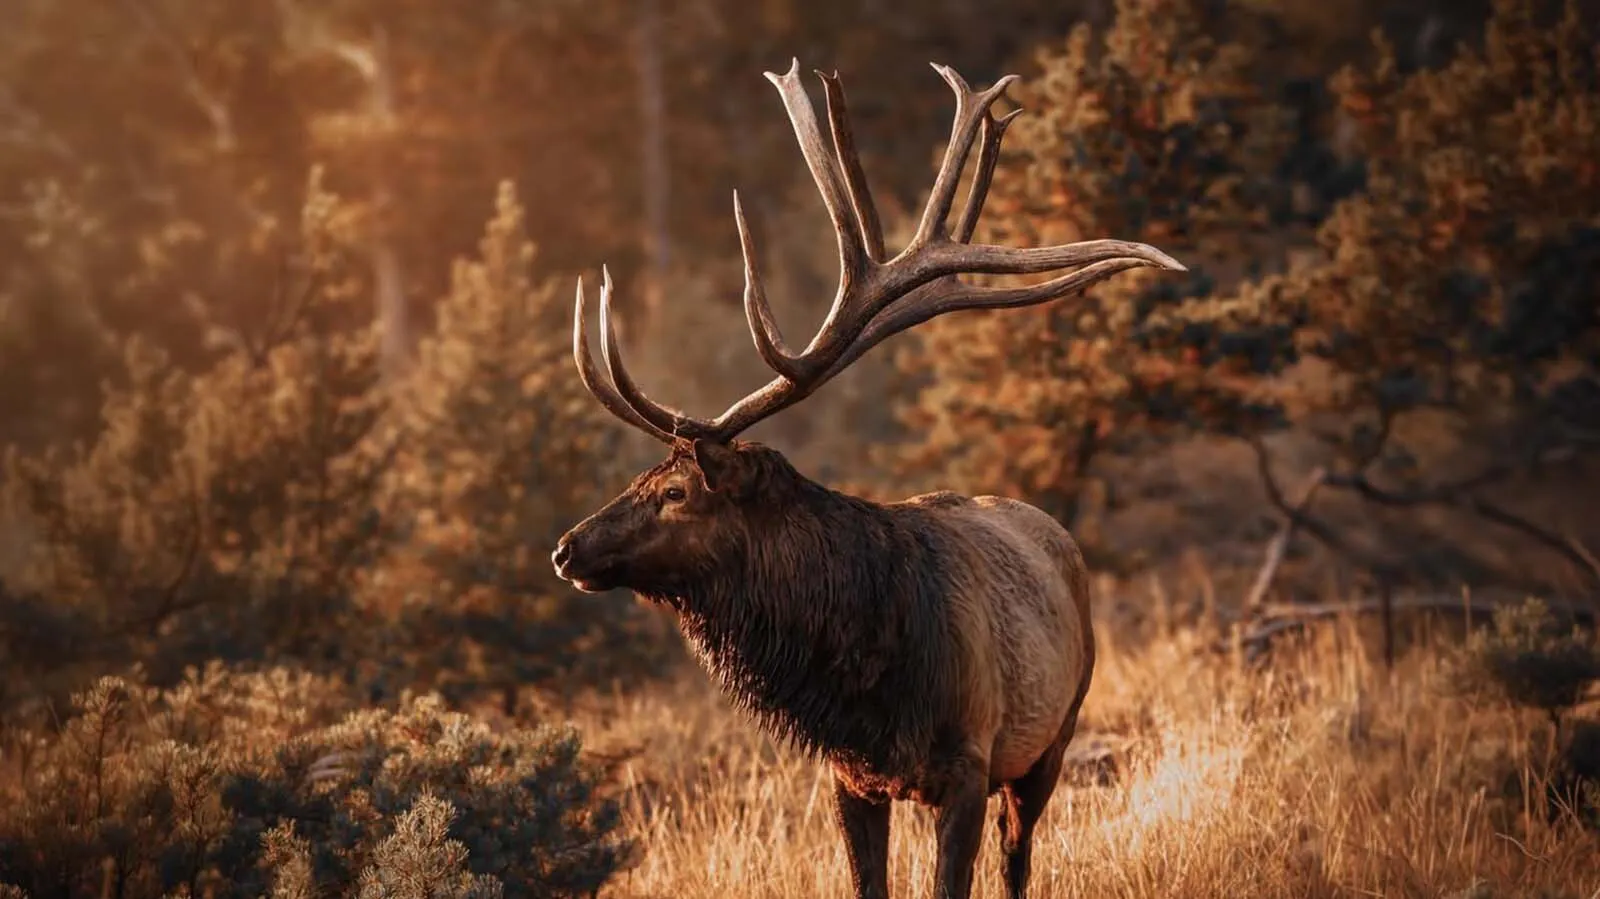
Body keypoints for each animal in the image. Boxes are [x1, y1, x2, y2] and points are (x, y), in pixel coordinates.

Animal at [551, 60, 1184, 899]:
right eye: (643, 474)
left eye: (676, 492)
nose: (566, 547)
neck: (866, 676)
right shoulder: (851, 776)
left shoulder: (967, 766)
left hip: (1053, 736)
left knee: (1019, 859)